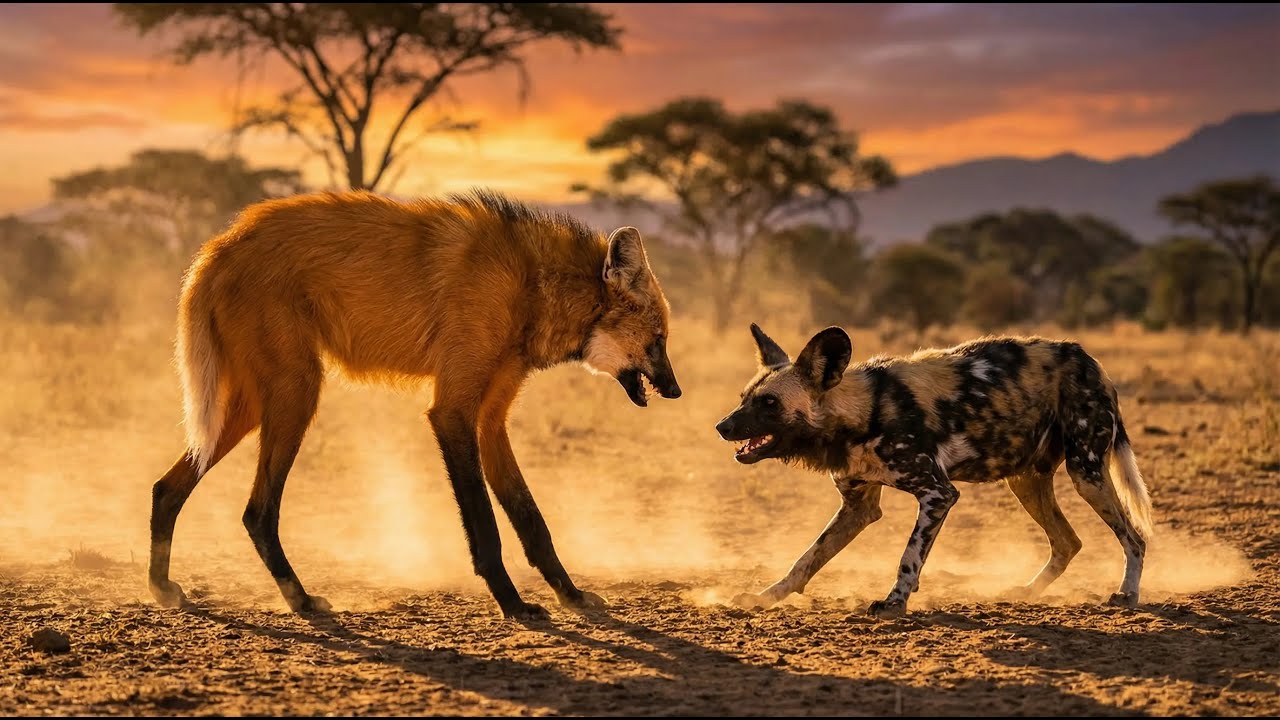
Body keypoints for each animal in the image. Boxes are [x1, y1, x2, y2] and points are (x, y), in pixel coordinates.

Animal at [148, 189, 680, 619]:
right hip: (296, 394)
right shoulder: (452, 413)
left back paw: (162, 588)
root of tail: (220, 244)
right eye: (658, 341)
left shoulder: (489, 422)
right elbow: (485, 526)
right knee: (257, 512)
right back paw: (300, 601)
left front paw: (571, 595)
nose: (676, 391)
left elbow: (532, 521)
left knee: (166, 488)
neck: (530, 285)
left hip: (252, 406)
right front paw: (513, 604)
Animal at [716, 324, 1152, 618]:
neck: (862, 412)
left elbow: (909, 557)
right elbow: (806, 559)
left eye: (769, 403)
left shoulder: (938, 493)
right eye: (744, 398)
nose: (722, 426)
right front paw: (767, 596)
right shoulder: (857, 508)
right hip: (1025, 482)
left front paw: (894, 602)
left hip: (1086, 473)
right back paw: (1026, 591)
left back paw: (1127, 594)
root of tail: (1087, 358)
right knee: (1068, 541)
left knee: (1135, 538)